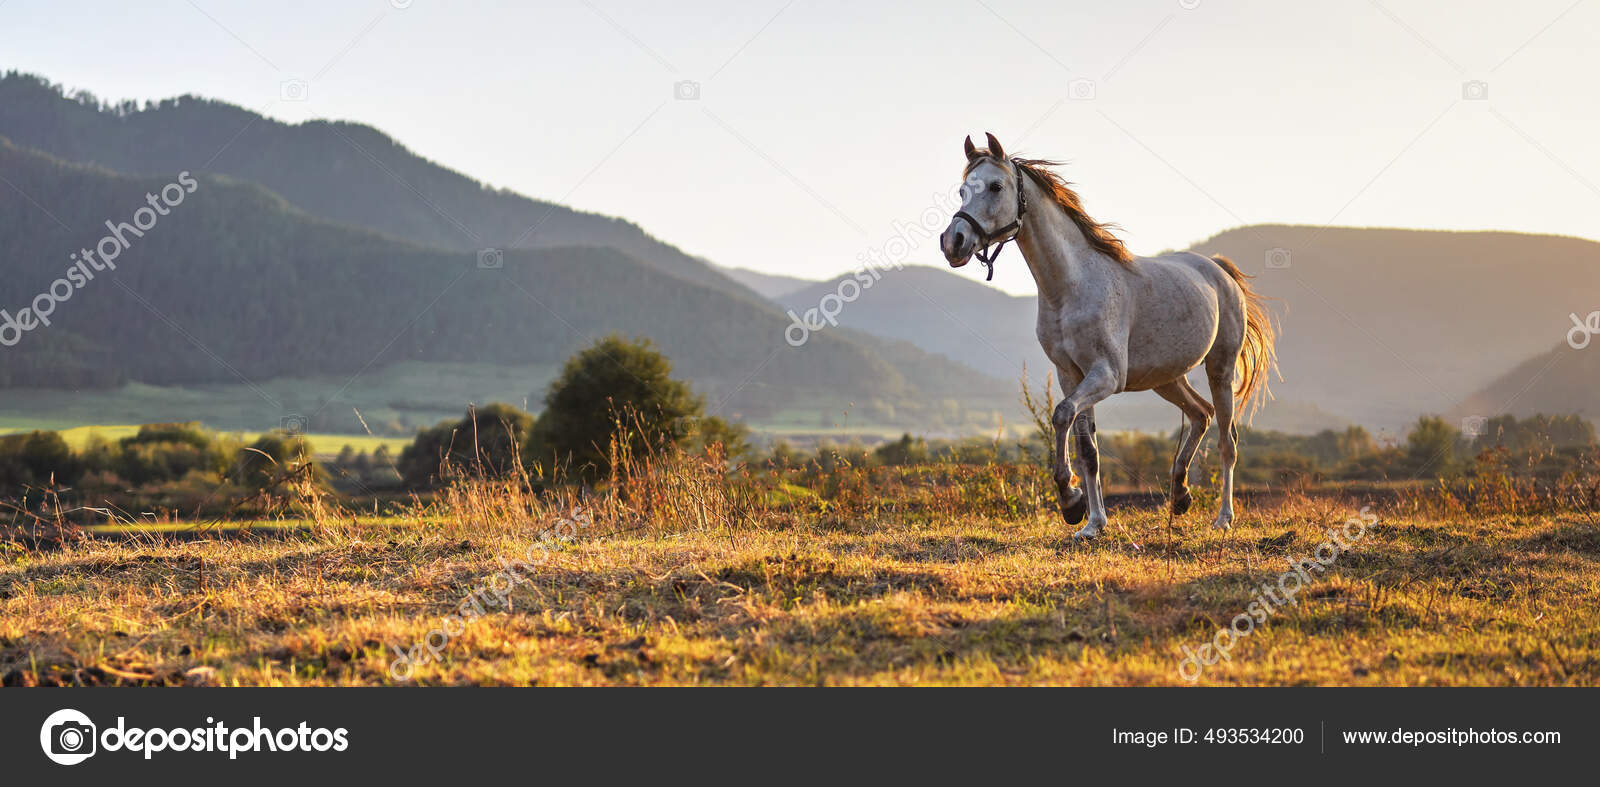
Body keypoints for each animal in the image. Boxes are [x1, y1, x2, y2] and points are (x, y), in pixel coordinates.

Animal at [939, 133, 1277, 539]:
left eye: (995, 186)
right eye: (962, 191)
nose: (953, 242)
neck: (1071, 286)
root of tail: (1218, 269)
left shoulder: (1106, 375)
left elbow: (1061, 416)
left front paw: (1071, 500)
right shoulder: (1072, 375)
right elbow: (1088, 449)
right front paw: (1091, 522)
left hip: (1220, 370)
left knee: (1228, 441)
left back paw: (1223, 518)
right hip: (1166, 379)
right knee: (1201, 414)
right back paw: (1180, 495)